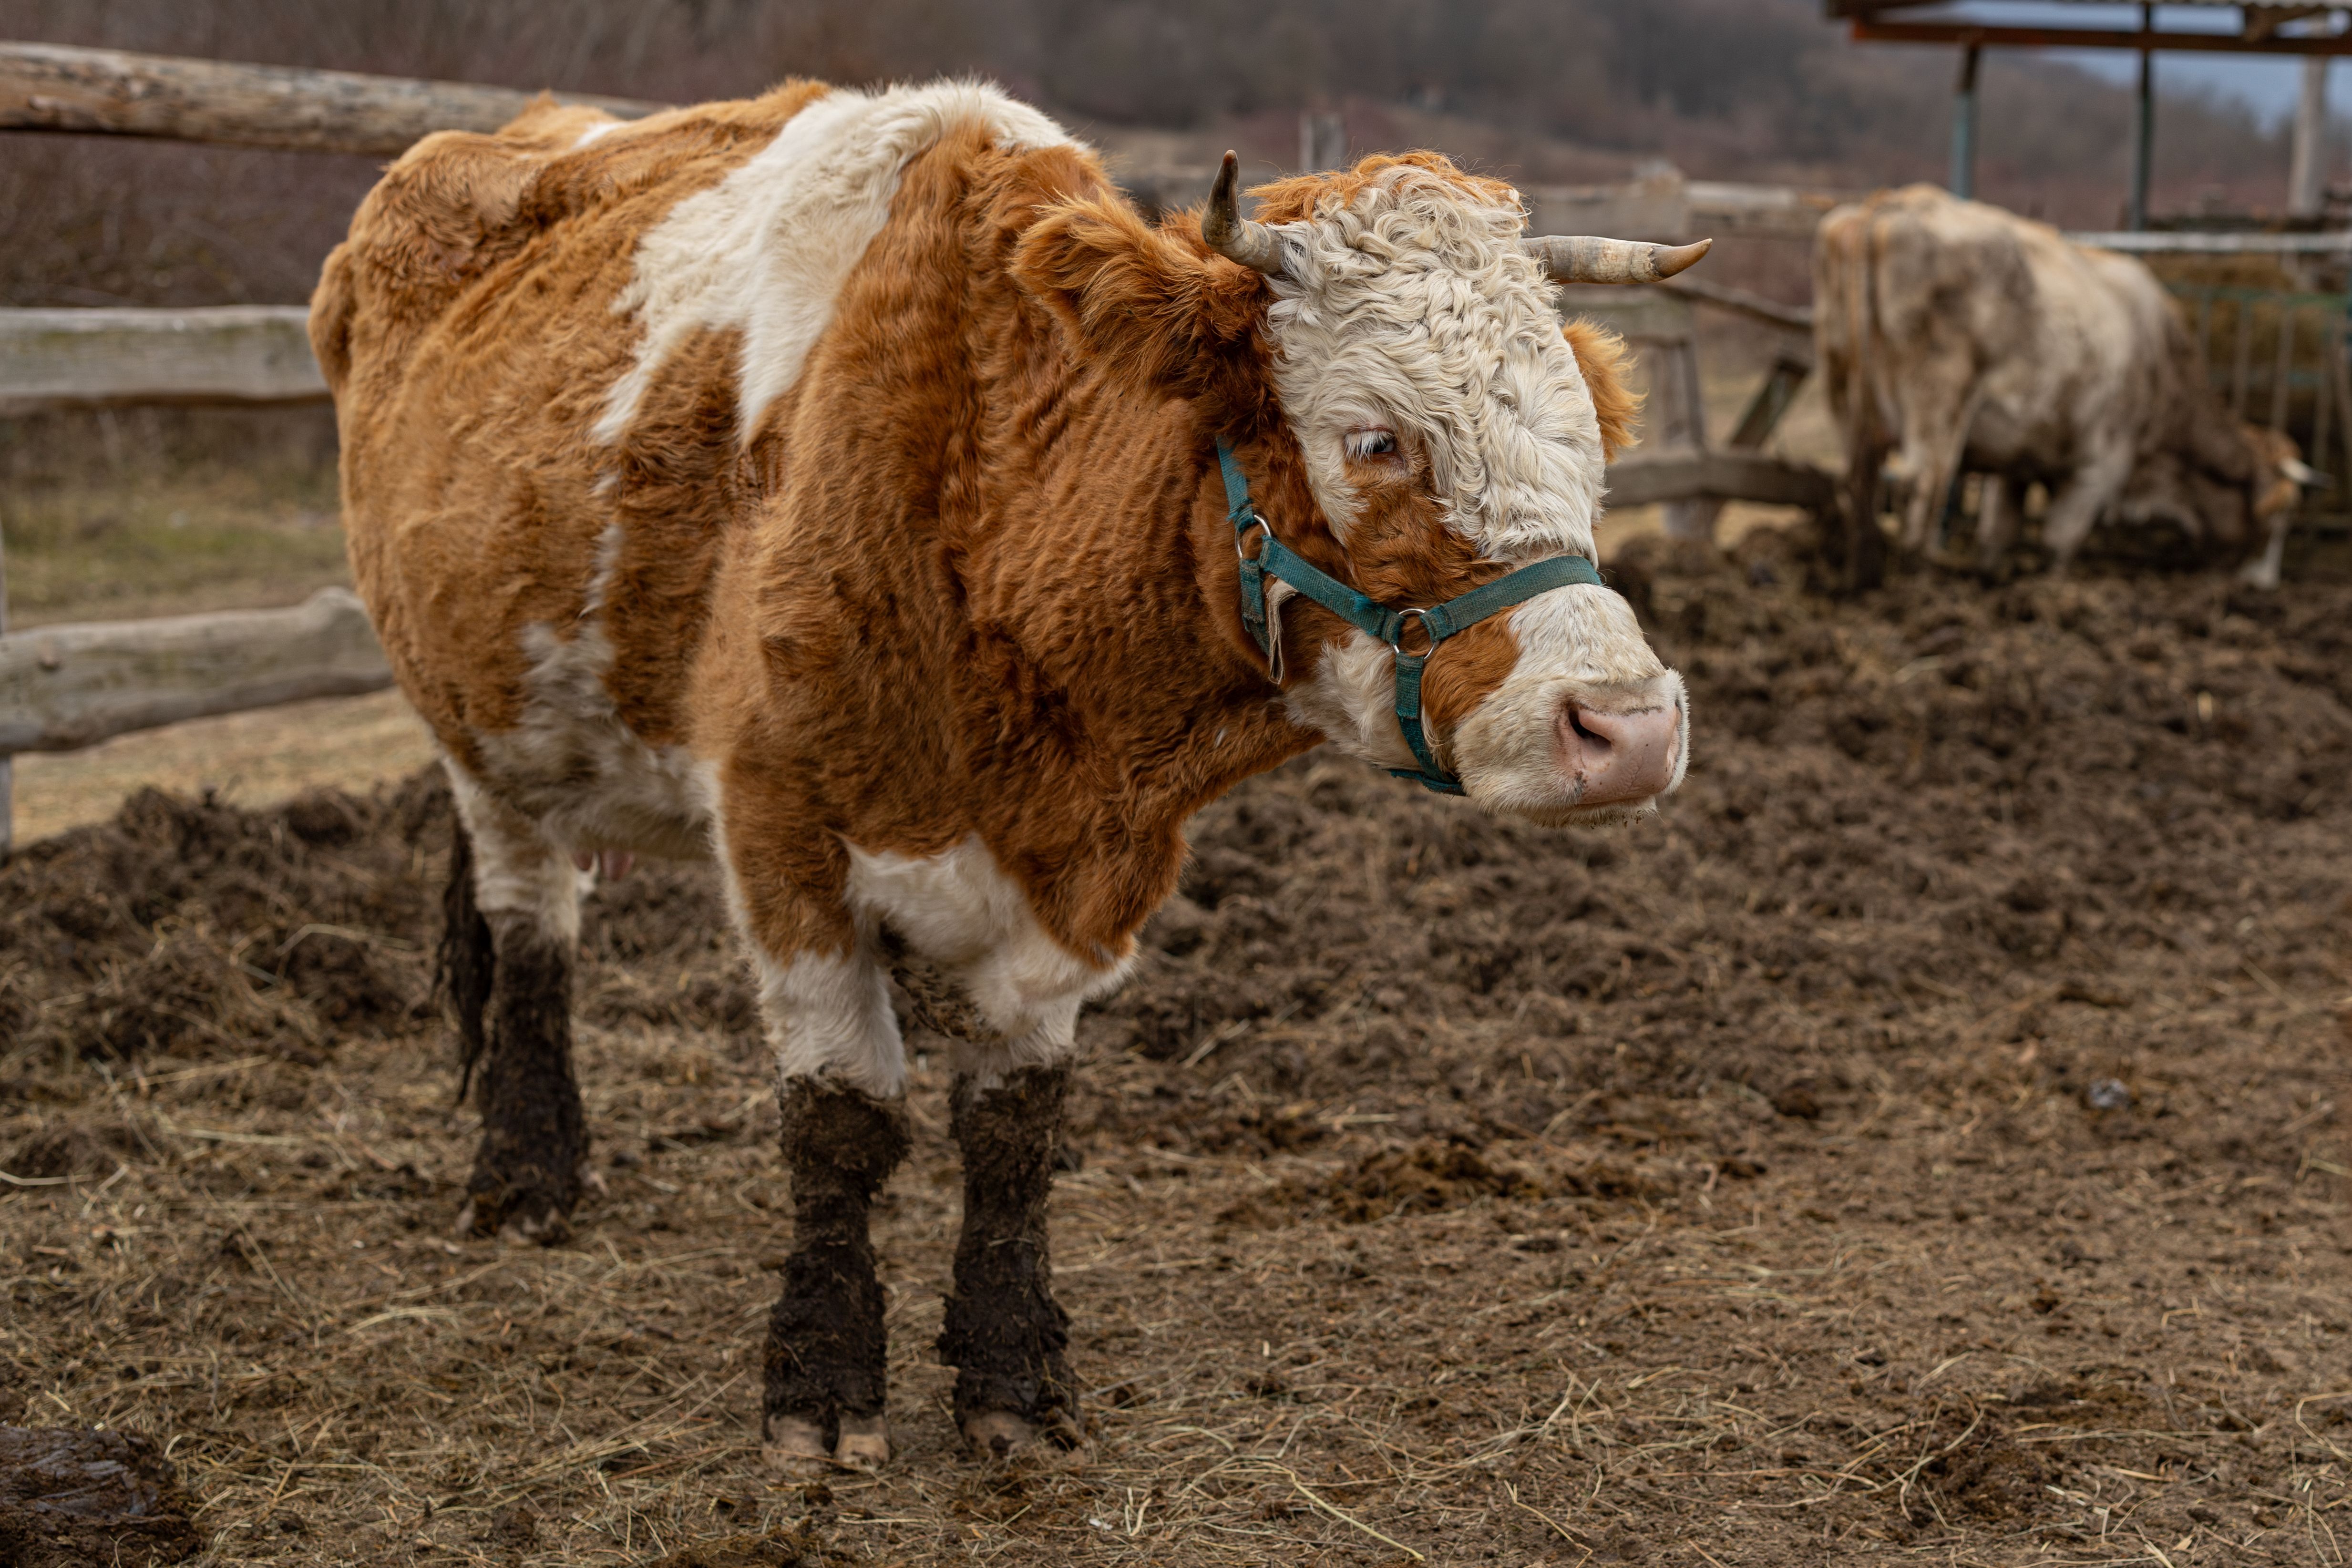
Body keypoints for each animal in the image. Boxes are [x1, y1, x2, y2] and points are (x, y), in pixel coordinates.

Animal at [310, 79, 1699, 1472]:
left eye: (1589, 438)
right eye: (1374, 440)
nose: (1625, 726)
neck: (981, 510)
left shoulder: (1077, 883)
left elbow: (1015, 1127)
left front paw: (1011, 1375)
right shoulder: (778, 828)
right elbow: (841, 1115)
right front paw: (821, 1378)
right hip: (478, 744)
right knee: (530, 932)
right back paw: (526, 1174)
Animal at [1815, 184, 2319, 588]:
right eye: (2278, 519)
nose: (2264, 585)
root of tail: (1891, 204)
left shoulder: (2017, 460)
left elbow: (1998, 533)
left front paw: (1988, 578)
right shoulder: (2099, 467)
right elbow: (2059, 542)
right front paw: (2051, 593)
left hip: (1843, 392)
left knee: (1853, 481)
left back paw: (1860, 576)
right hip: (1937, 404)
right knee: (1923, 485)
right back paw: (1917, 581)